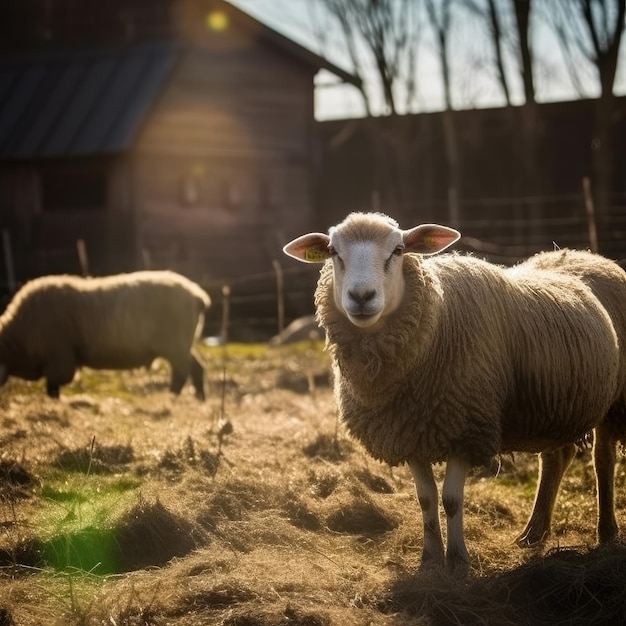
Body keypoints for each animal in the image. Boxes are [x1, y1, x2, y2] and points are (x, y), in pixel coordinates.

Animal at [0, 270, 211, 398]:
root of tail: (198, 296)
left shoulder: (59, 358)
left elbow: (53, 387)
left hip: (175, 344)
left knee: (182, 371)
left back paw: (172, 397)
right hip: (182, 343)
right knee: (196, 366)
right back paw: (198, 398)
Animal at [284, 211, 624, 572]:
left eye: (398, 250)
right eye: (334, 251)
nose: (362, 296)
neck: (436, 321)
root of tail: (581, 253)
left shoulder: (465, 427)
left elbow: (451, 499)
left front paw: (459, 560)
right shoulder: (408, 432)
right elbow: (426, 499)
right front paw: (430, 559)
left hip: (617, 400)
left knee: (603, 460)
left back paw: (606, 533)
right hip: (555, 404)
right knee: (556, 457)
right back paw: (534, 532)